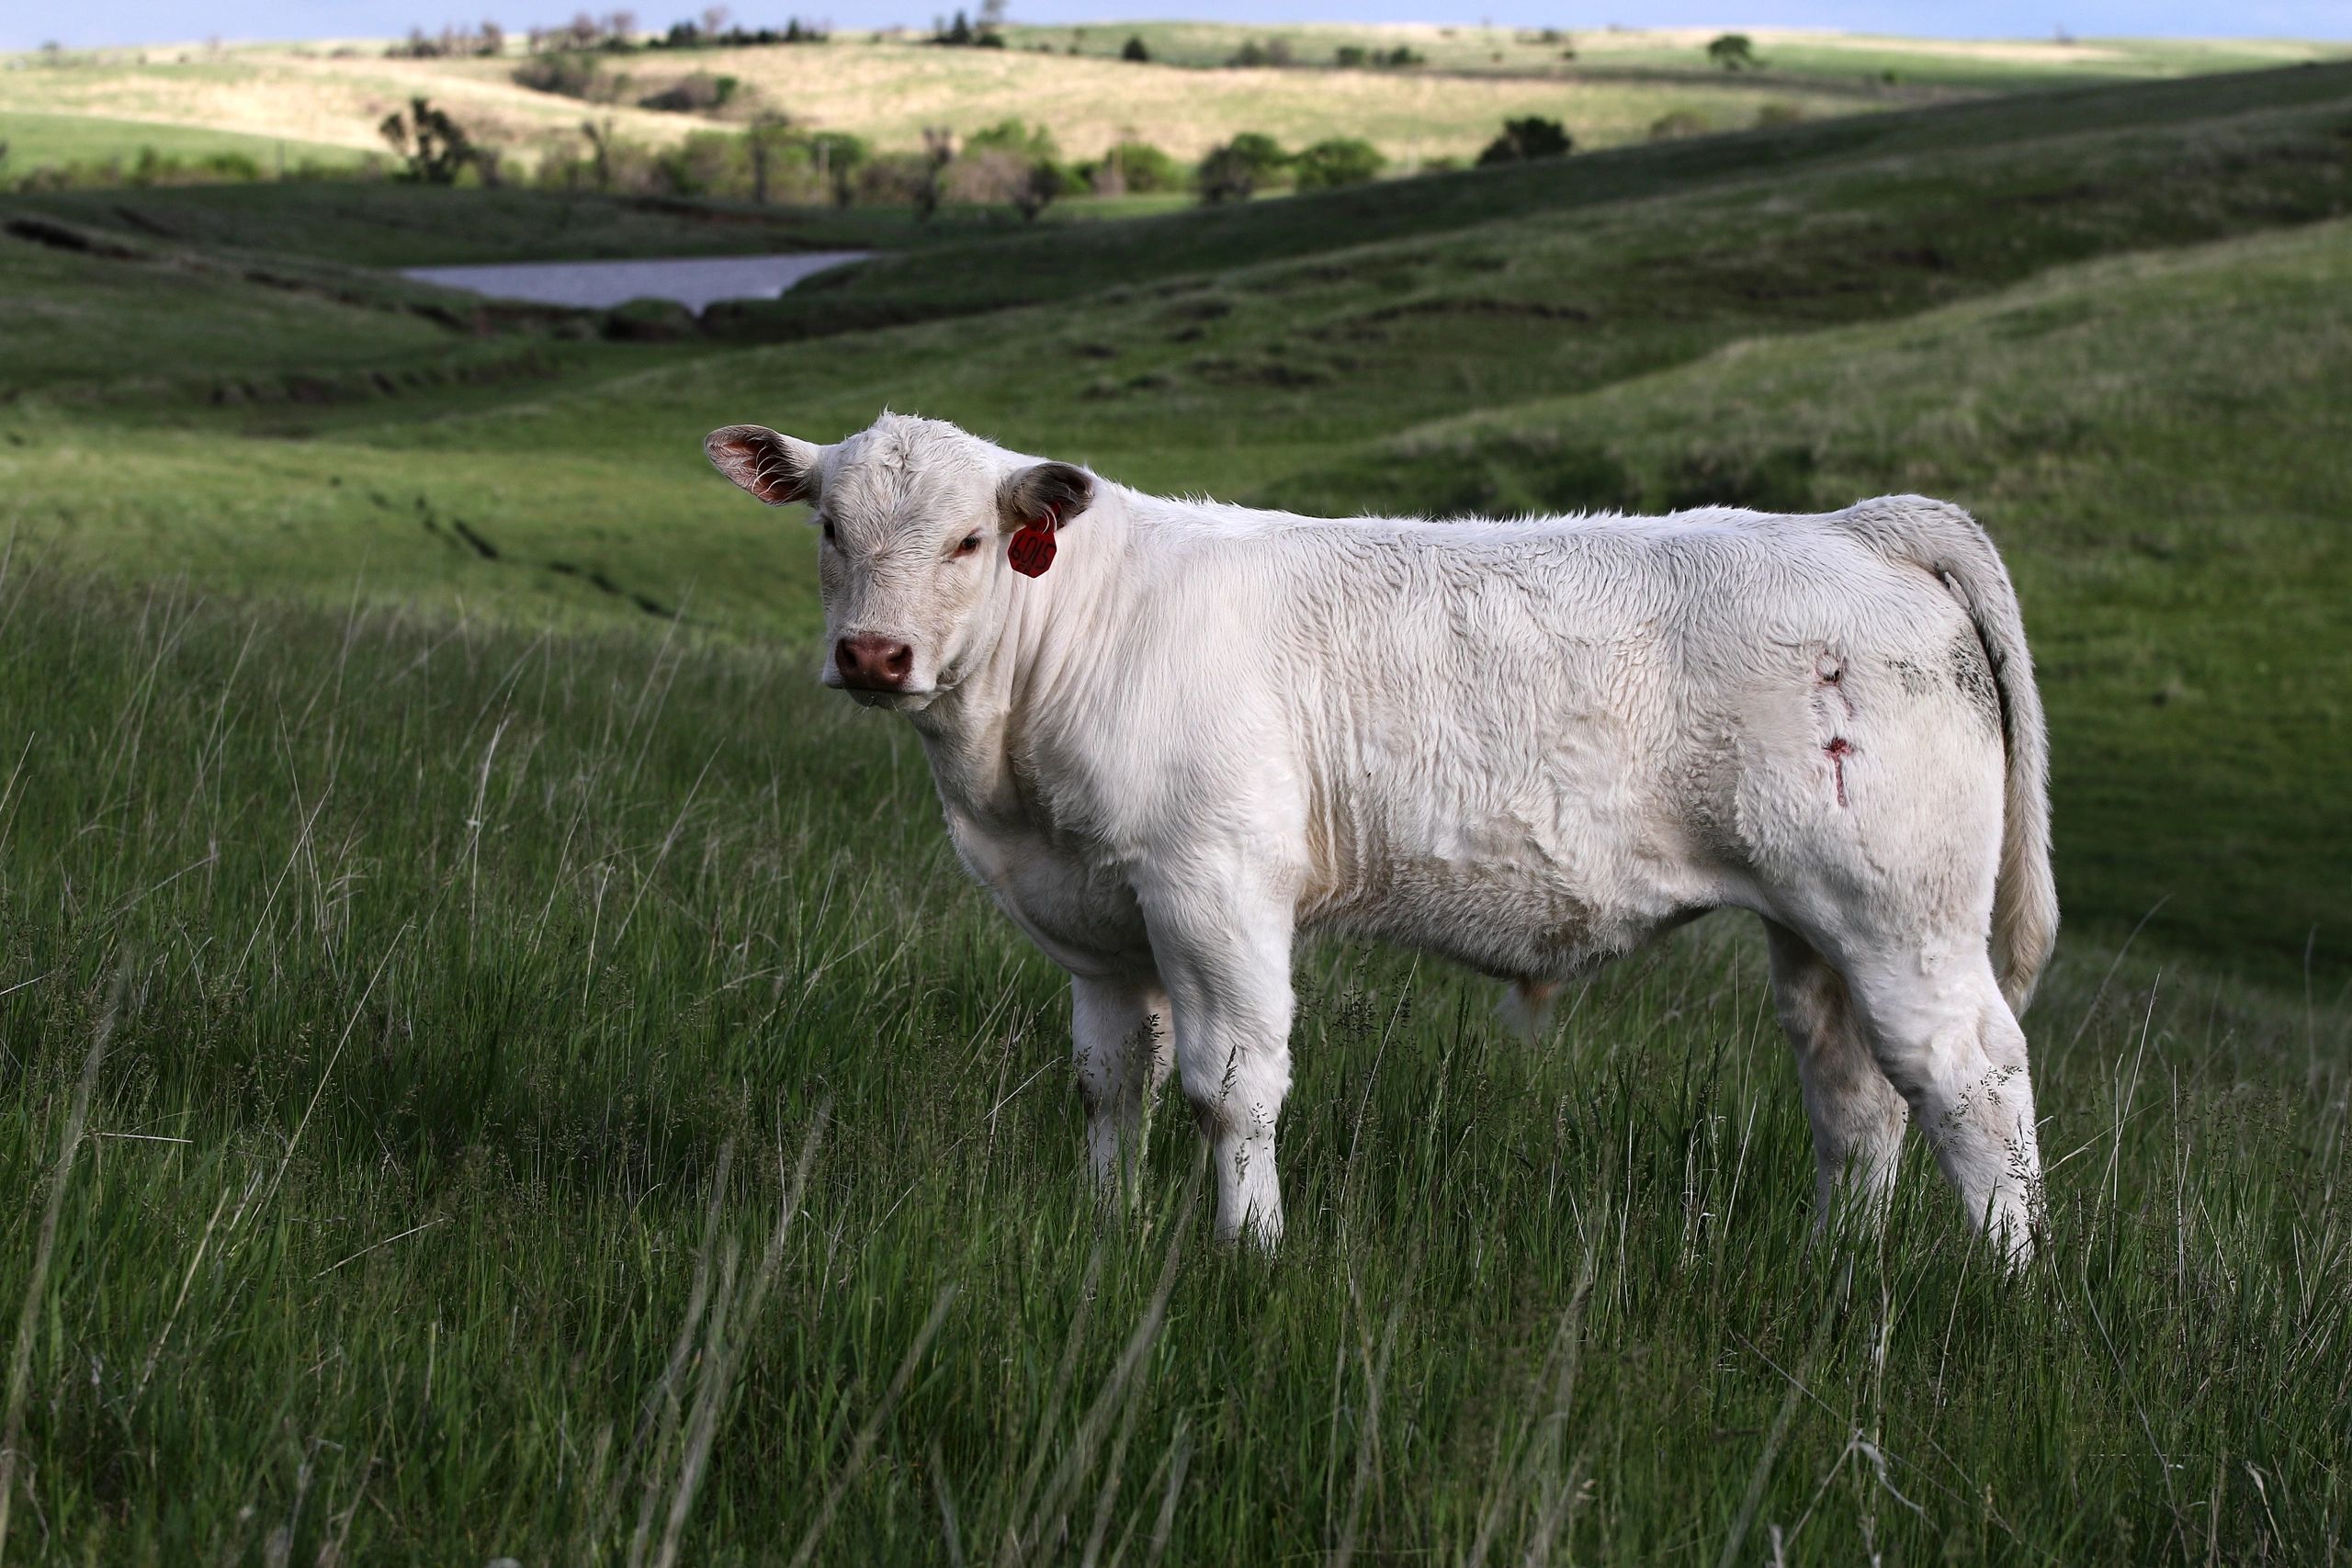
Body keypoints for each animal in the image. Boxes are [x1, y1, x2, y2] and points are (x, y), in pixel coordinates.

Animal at [705, 412, 2056, 1260]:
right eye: (828, 528)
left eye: (971, 540)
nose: (872, 654)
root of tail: (1850, 523)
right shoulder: (1094, 918)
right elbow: (1109, 1078)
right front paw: (1107, 1230)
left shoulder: (1215, 884)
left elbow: (1231, 1085)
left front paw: (1251, 1252)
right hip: (1816, 927)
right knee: (1855, 1094)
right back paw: (1841, 1263)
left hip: (1901, 912)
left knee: (1972, 1076)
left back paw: (2006, 1287)